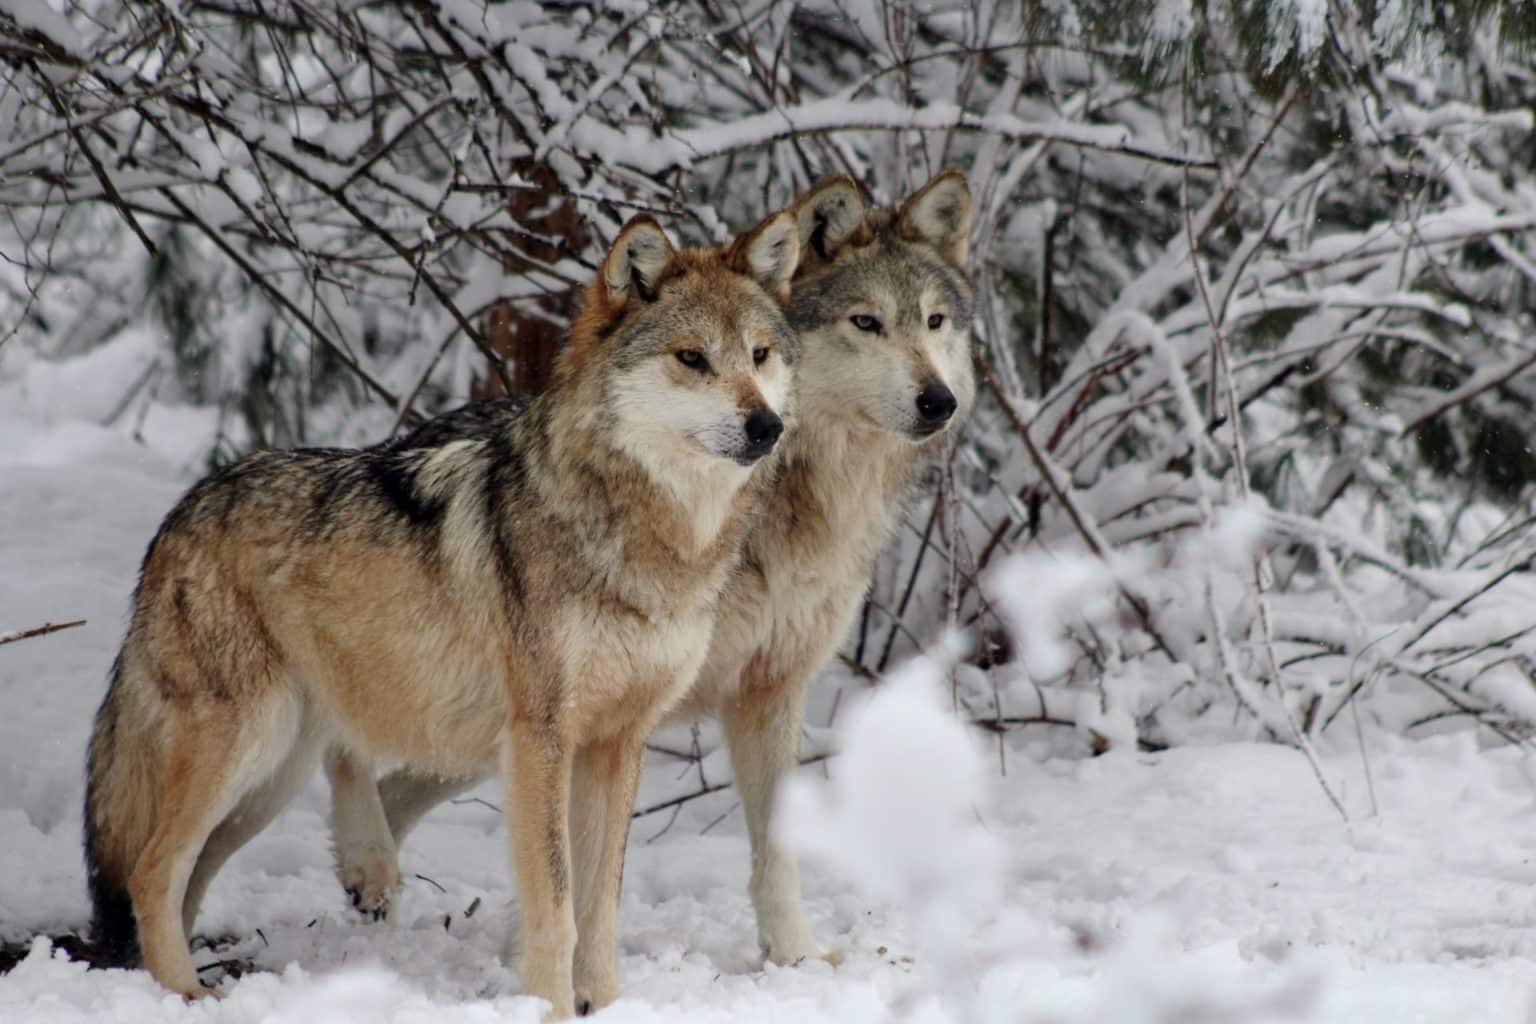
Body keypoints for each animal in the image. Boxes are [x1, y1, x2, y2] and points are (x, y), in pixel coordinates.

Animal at [82, 209, 801, 1017]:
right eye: (692, 359)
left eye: (760, 355)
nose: (767, 425)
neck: (651, 543)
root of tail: (181, 511)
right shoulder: (540, 741)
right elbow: (556, 905)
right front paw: (551, 1008)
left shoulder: (618, 743)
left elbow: (600, 905)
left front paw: (608, 1004)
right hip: (242, 747)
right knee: (149, 870)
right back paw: (184, 993)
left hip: (273, 773)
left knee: (191, 869)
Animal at [332, 170, 977, 967]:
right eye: (866, 323)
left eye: (935, 321)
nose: (939, 401)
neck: (792, 500)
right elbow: (571, 866)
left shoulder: (769, 690)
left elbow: (776, 850)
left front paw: (793, 956)